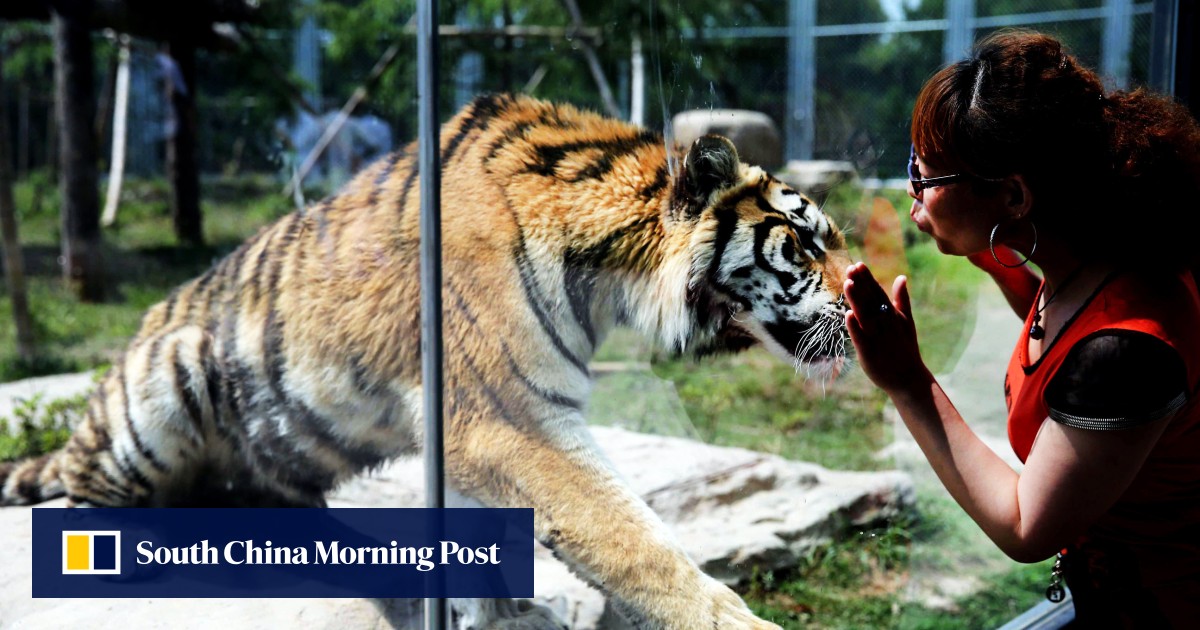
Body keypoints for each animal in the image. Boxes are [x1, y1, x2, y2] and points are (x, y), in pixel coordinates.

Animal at [1, 94, 850, 629]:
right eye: (806, 245)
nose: (863, 307)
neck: (612, 274)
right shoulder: (507, 418)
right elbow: (633, 541)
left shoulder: (480, 426)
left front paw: (504, 614)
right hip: (166, 377)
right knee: (88, 499)